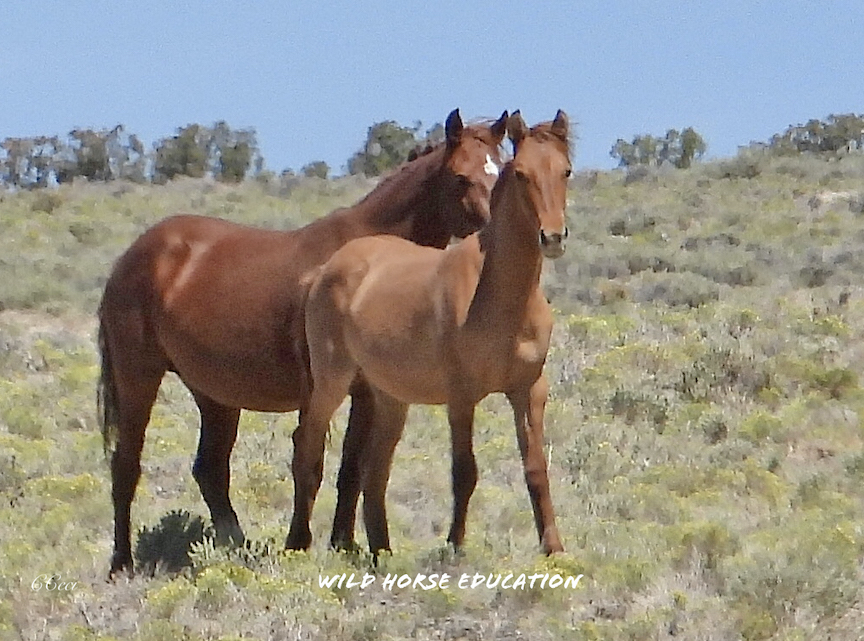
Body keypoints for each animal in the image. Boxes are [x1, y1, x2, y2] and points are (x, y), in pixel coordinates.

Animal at [98, 109, 509, 575]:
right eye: (460, 177)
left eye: (501, 171)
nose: (492, 238)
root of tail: (133, 255)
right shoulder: (319, 391)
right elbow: (309, 464)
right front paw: (301, 545)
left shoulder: (368, 393)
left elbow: (352, 469)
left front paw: (345, 544)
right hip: (138, 378)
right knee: (126, 466)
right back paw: (122, 563)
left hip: (215, 394)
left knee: (210, 470)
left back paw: (237, 547)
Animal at [296, 110, 571, 556]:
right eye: (522, 174)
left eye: (566, 171)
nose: (553, 237)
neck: (499, 294)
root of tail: (329, 266)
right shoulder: (461, 397)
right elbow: (465, 472)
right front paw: (455, 547)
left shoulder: (528, 391)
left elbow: (535, 470)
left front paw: (555, 551)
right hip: (332, 383)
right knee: (309, 451)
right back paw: (297, 543)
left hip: (388, 397)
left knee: (375, 471)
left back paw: (382, 552)